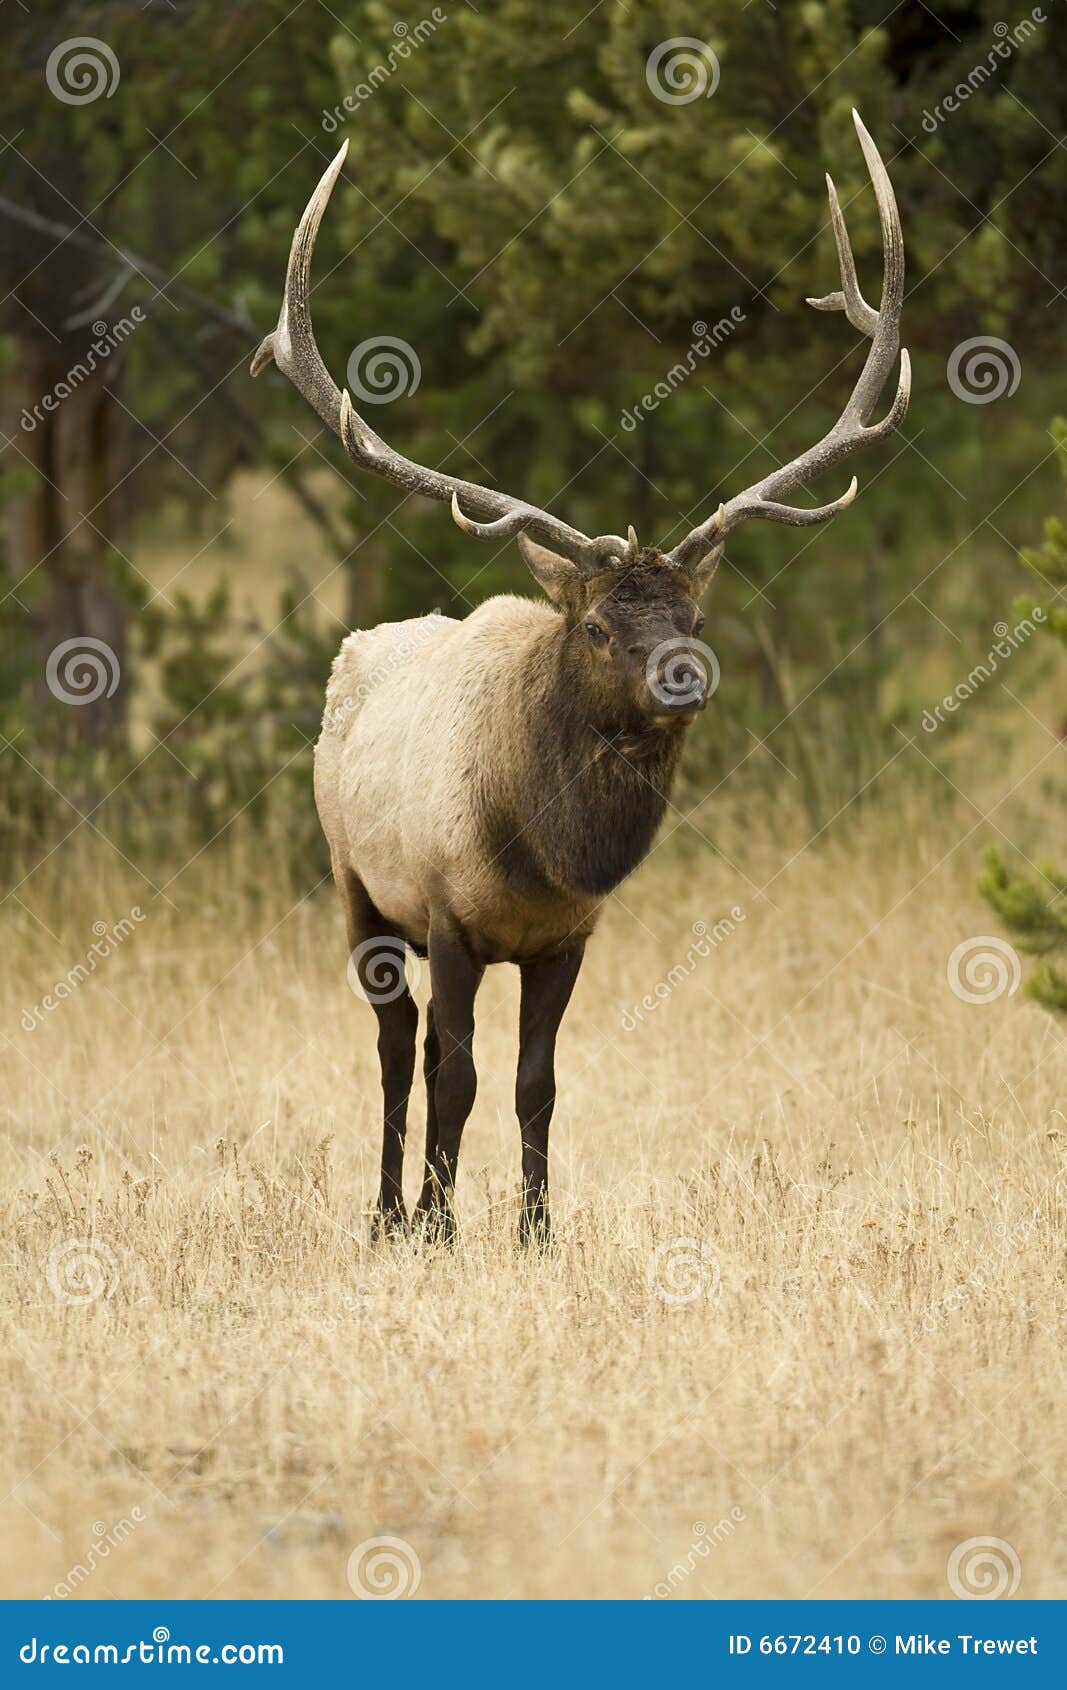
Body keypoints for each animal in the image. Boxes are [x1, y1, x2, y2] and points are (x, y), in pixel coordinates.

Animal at [250, 110, 909, 1247]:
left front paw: (534, 1230)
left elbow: (535, 1084)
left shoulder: (568, 939)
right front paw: (441, 1229)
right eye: (599, 624)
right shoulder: (445, 914)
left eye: (694, 616)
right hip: (353, 882)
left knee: (426, 1052)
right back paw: (387, 1213)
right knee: (396, 1048)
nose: (685, 672)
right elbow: (457, 1076)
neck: (542, 851)